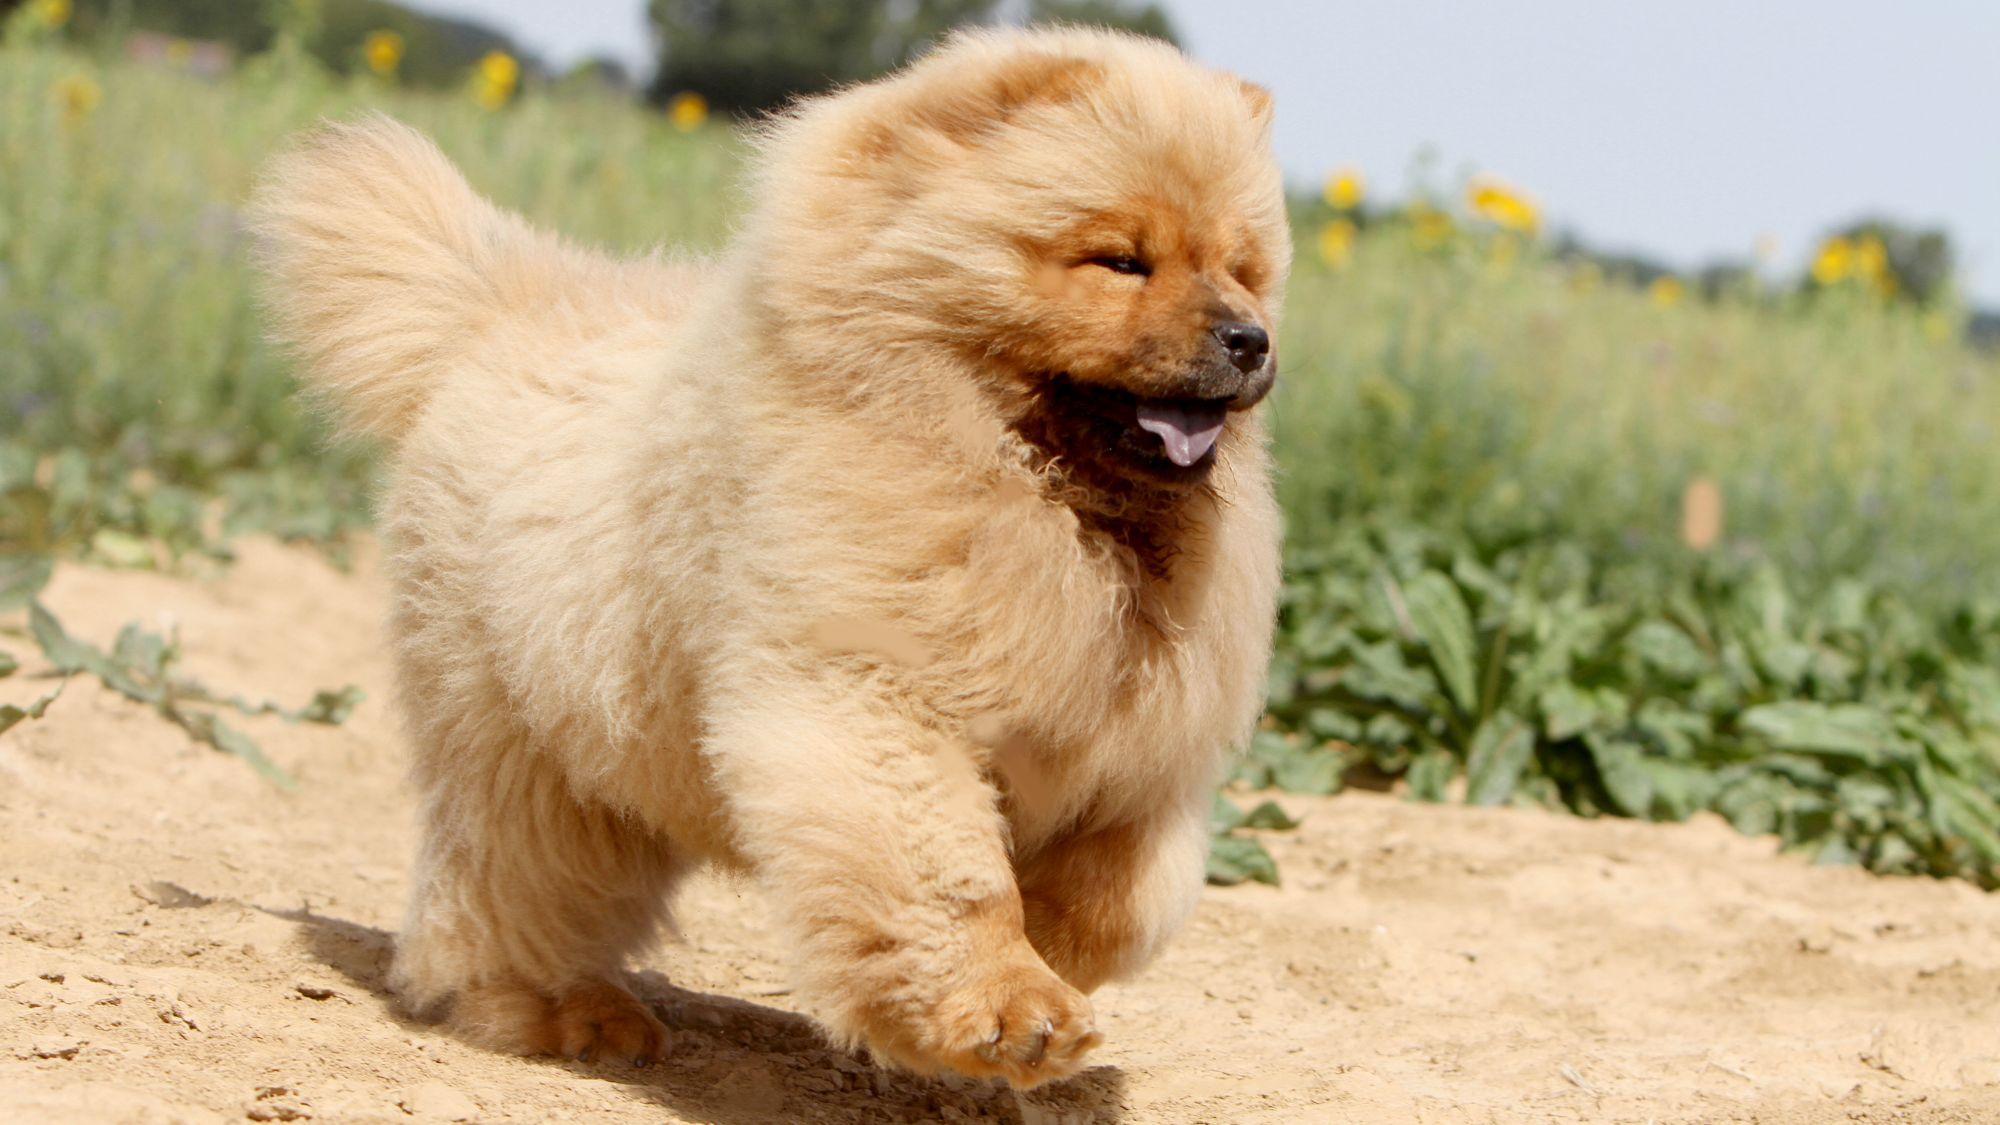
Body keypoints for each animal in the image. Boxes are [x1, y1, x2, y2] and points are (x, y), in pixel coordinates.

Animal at [254, 24, 1280, 1088]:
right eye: (1121, 260)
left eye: (1243, 269)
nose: (1249, 338)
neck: (1045, 502)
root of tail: (507, 311)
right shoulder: (869, 700)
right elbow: (944, 876)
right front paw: (1006, 1013)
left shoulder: (1137, 763)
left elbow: (1118, 901)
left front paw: (1051, 955)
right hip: (522, 740)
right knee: (511, 887)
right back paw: (565, 1013)